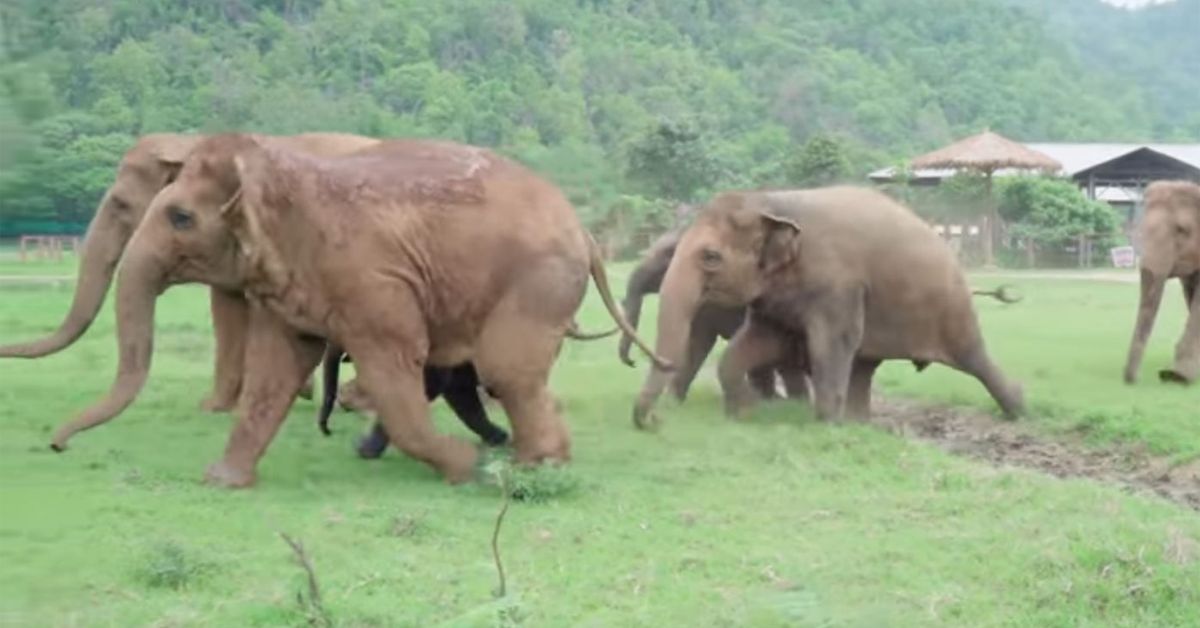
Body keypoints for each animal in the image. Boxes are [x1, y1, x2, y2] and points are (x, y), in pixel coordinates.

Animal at [0, 132, 381, 410]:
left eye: (121, 204)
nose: (5, 352)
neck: (189, 140)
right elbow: (229, 304)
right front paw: (225, 405)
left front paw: (211, 408)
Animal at [49, 133, 666, 487]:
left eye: (179, 218)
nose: (56, 445)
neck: (280, 169)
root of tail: (584, 232)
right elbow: (276, 369)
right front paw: (222, 480)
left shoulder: (375, 282)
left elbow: (394, 368)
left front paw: (462, 468)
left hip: (537, 281)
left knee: (506, 371)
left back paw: (535, 466)